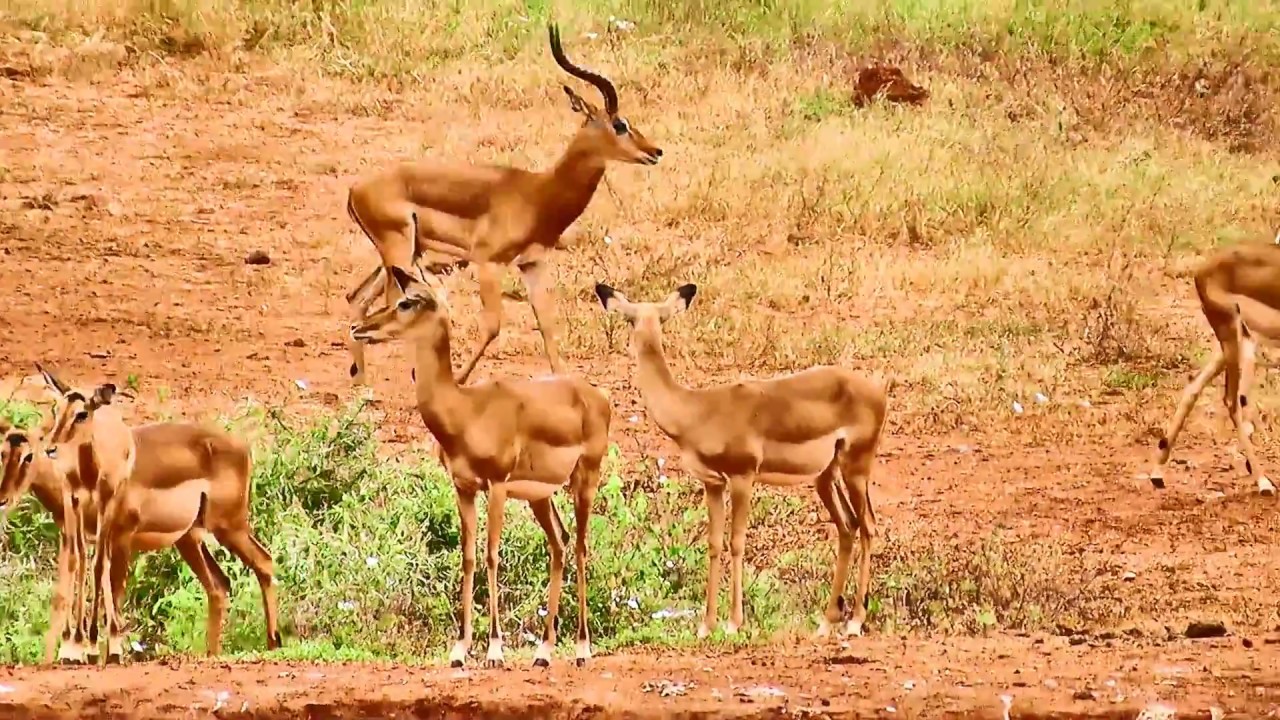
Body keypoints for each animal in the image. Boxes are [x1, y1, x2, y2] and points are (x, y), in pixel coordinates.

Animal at [36, 366, 282, 663]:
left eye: (82, 413)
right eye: (56, 409)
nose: (51, 448)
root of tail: (242, 447)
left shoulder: (121, 536)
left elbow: (111, 586)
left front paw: (109, 651)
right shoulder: (78, 529)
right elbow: (80, 573)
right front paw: (75, 650)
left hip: (228, 526)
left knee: (264, 561)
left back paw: (273, 643)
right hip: (190, 539)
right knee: (219, 585)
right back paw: (212, 654)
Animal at [344, 22, 662, 387]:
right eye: (620, 124)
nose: (655, 151)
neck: (540, 193)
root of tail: (355, 189)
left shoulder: (533, 264)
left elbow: (547, 325)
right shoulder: (487, 261)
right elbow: (493, 325)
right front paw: (459, 379)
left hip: (400, 254)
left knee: (358, 298)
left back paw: (360, 380)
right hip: (399, 253)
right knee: (393, 303)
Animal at [350, 263, 611, 668]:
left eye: (407, 302)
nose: (360, 327)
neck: (465, 411)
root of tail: (599, 396)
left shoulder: (497, 484)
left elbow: (491, 554)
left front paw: (494, 649)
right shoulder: (464, 487)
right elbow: (469, 556)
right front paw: (459, 649)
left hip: (585, 479)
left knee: (582, 546)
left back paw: (583, 649)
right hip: (539, 497)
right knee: (560, 544)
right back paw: (543, 652)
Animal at [594, 283, 891, 638]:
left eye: (652, 318)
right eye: (632, 318)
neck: (695, 410)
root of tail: (878, 392)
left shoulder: (742, 477)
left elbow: (737, 542)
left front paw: (734, 622)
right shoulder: (712, 483)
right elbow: (713, 544)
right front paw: (706, 625)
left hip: (856, 468)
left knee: (868, 526)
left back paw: (856, 621)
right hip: (825, 476)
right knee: (848, 527)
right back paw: (826, 621)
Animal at [1148, 241, 1280, 497]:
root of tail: (1201, 271)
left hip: (1229, 346)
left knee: (1194, 388)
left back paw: (1157, 473)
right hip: (1233, 341)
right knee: (1232, 401)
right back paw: (1263, 482)